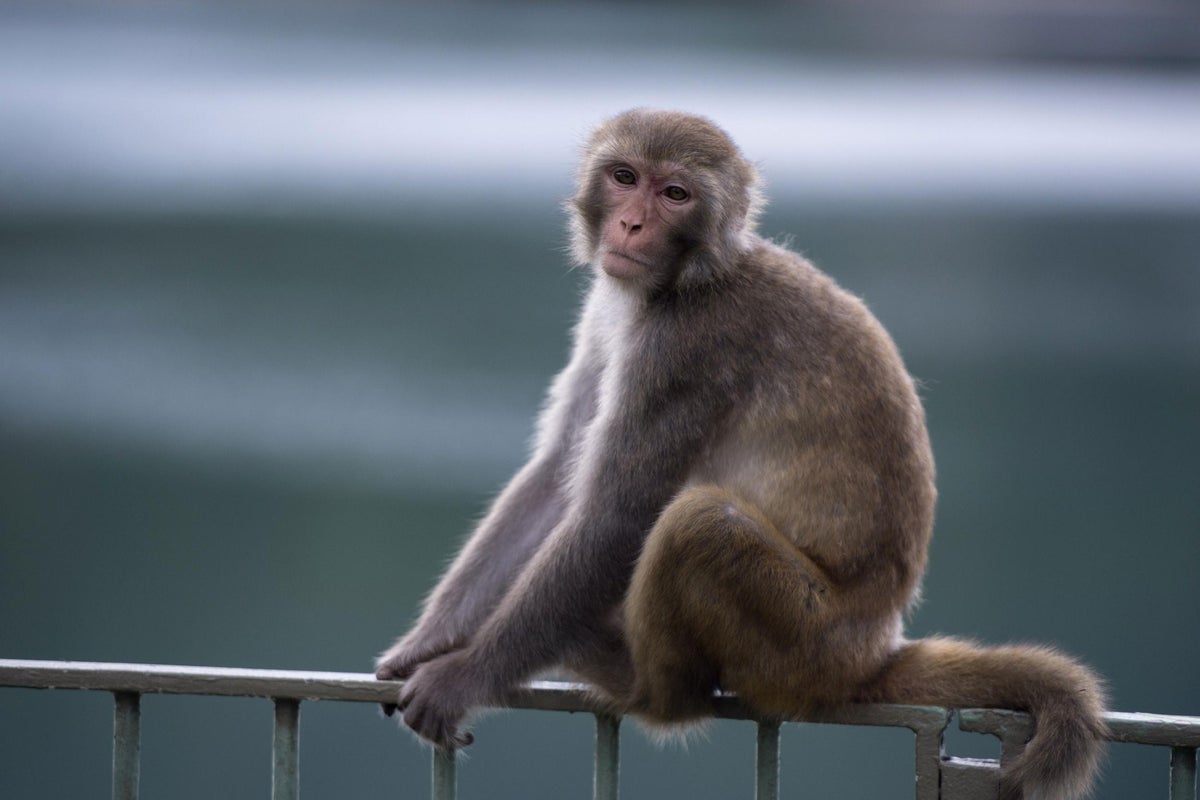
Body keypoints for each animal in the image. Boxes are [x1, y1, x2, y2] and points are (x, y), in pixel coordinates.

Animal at [375, 109, 1106, 800]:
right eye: (624, 178)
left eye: (674, 194)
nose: (632, 225)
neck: (688, 279)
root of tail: (876, 649)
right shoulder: (612, 314)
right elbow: (557, 475)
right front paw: (428, 641)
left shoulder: (686, 348)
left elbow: (614, 516)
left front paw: (463, 676)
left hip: (804, 643)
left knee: (701, 525)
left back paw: (642, 685)